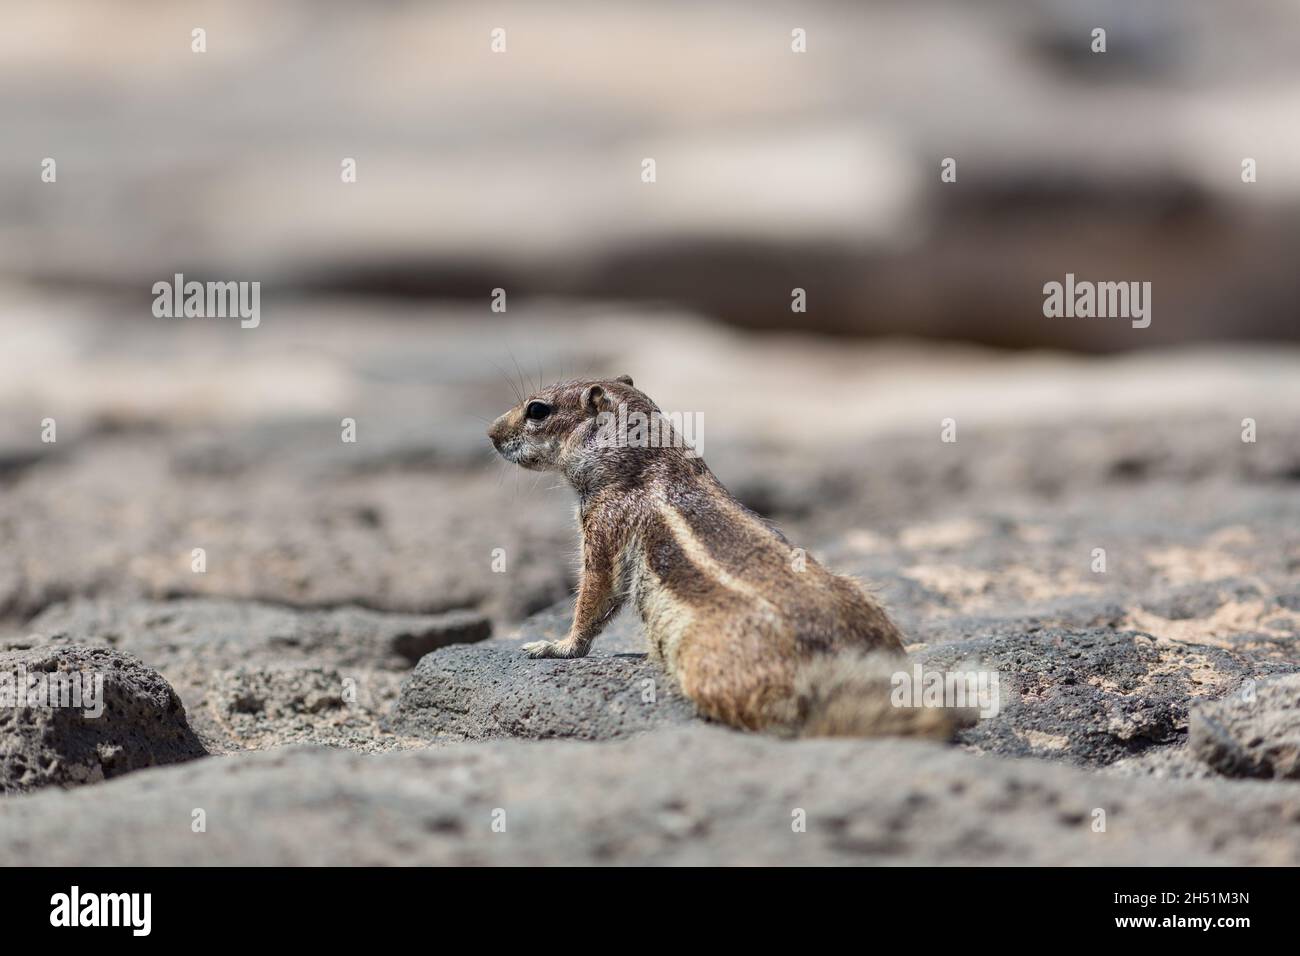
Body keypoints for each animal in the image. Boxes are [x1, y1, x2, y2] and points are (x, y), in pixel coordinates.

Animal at [488, 375, 965, 738]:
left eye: (537, 410)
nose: (490, 435)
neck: (648, 459)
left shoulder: (604, 526)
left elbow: (594, 596)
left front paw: (555, 645)